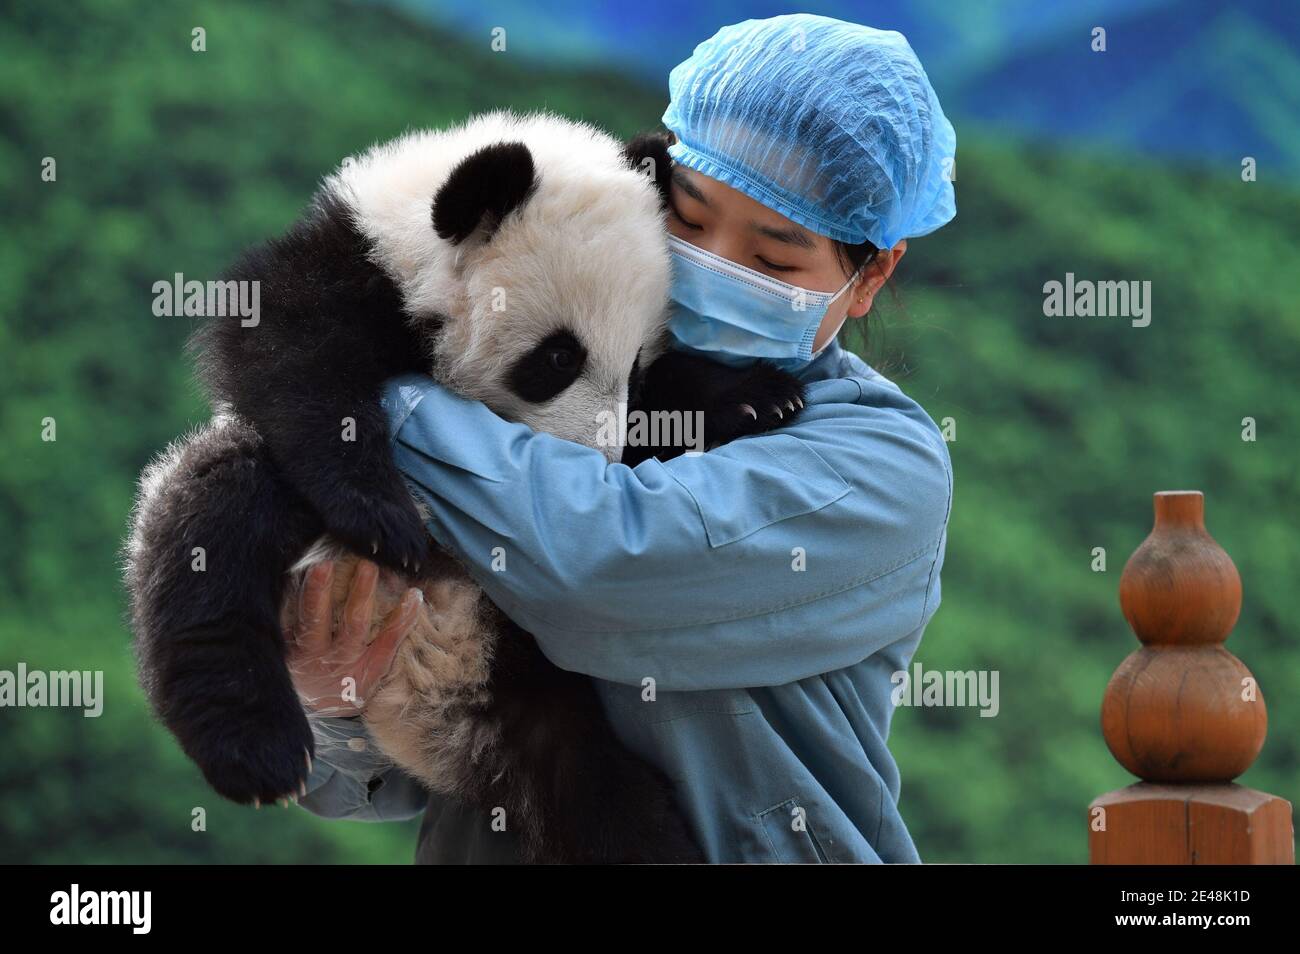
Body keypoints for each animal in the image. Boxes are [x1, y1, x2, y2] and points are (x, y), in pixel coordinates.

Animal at [125, 110, 807, 863]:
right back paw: (257, 752)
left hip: (534, 685)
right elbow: (287, 359)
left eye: (633, 361)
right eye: (558, 358)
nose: (593, 464)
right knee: (213, 523)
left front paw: (754, 396)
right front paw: (378, 513)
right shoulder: (346, 267)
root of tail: (431, 685)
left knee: (604, 800)